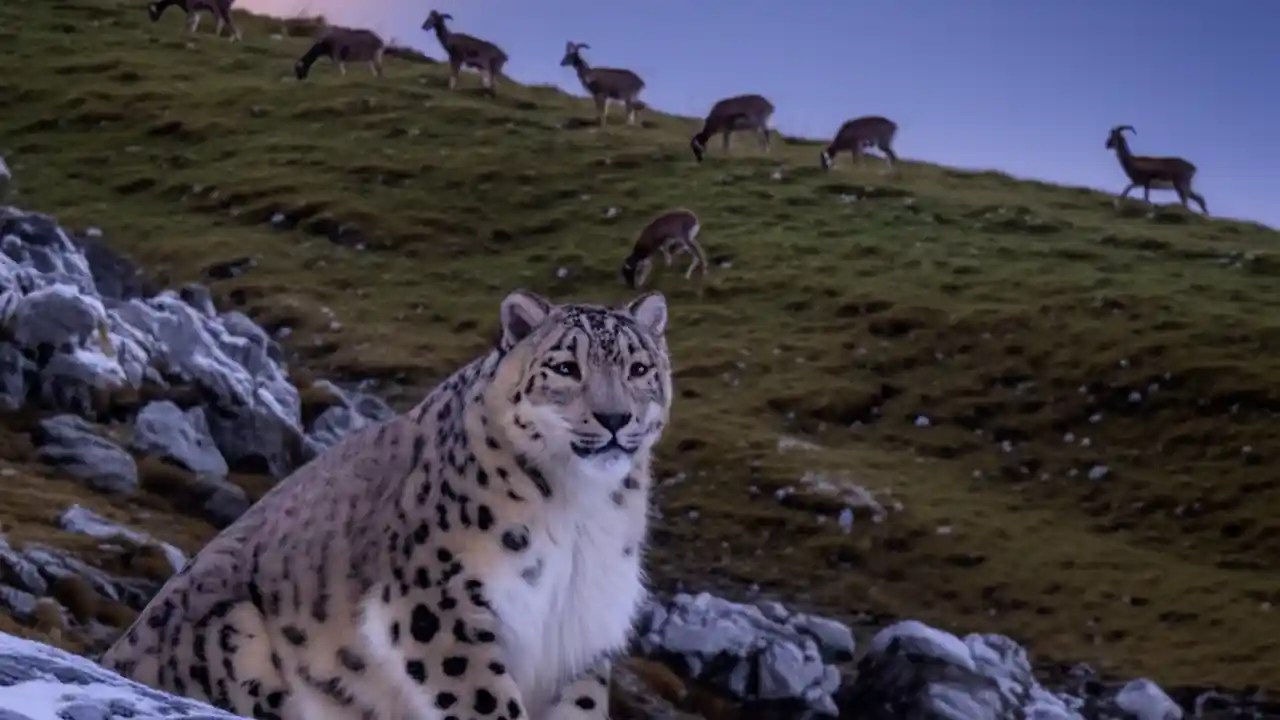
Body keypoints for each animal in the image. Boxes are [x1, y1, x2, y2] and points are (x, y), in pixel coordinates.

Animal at [99, 289, 673, 720]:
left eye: (638, 367)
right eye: (565, 366)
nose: (615, 418)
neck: (582, 511)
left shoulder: (579, 626)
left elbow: (579, 706)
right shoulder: (438, 598)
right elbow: (484, 697)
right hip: (238, 633)